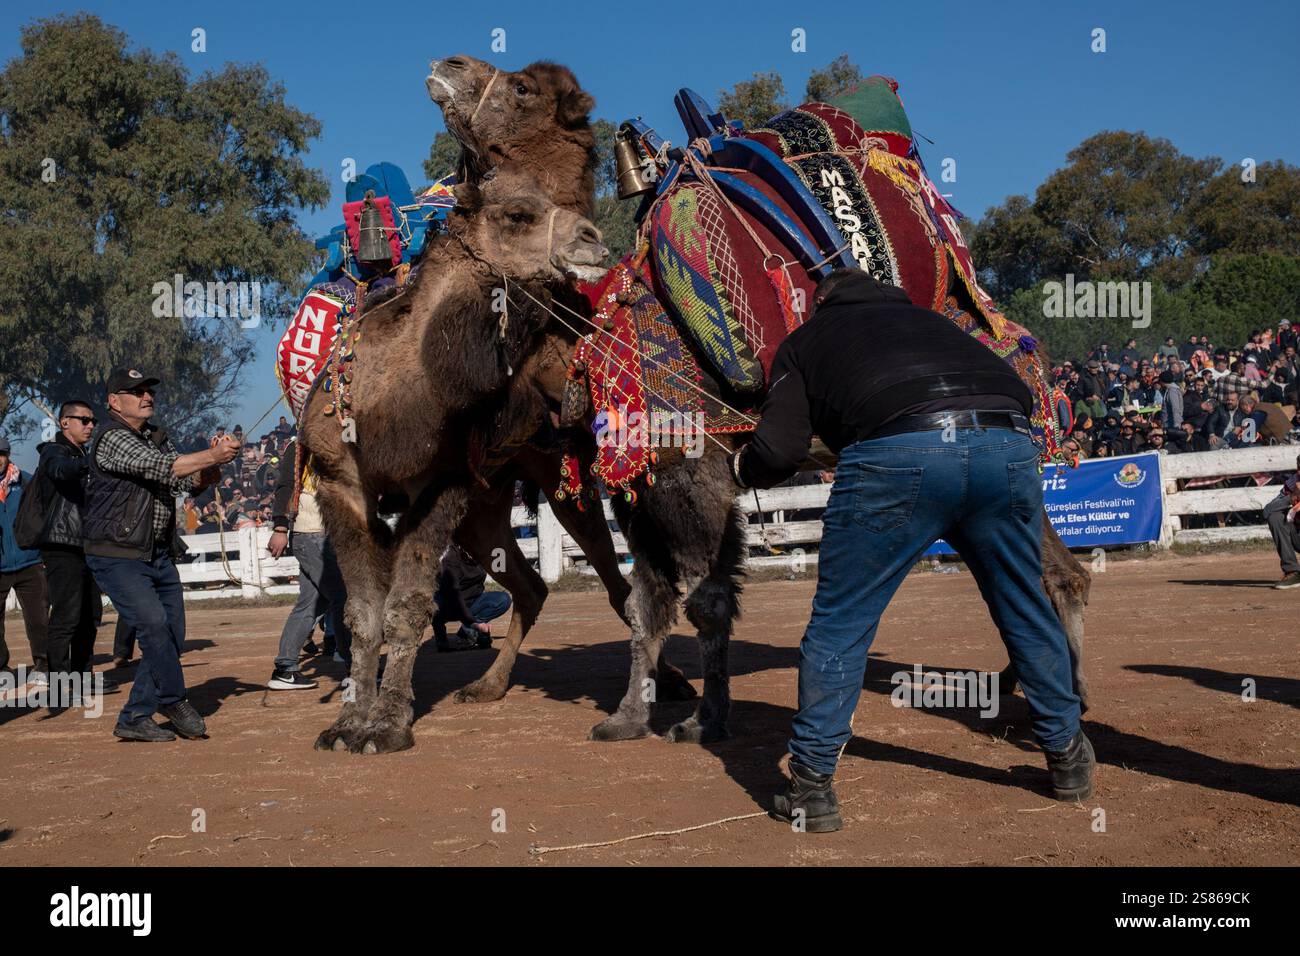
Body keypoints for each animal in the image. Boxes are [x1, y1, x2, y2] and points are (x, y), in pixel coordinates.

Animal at [301, 169, 609, 753]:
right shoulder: (339, 484)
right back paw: (488, 686)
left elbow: (405, 608)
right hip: (484, 510)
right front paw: (347, 724)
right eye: (518, 215)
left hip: (565, 479)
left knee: (621, 575)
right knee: (531, 587)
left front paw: (386, 725)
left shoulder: (437, 482)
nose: (594, 240)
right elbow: (361, 614)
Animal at [428, 55, 1091, 743]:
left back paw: (1060, 698)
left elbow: (706, 600)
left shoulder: (695, 470)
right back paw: (1029, 685)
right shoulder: (644, 483)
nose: (447, 65)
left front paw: (703, 720)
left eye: (519, 88)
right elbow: (648, 601)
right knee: (1036, 571)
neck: (592, 329)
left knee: (1050, 572)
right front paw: (629, 717)